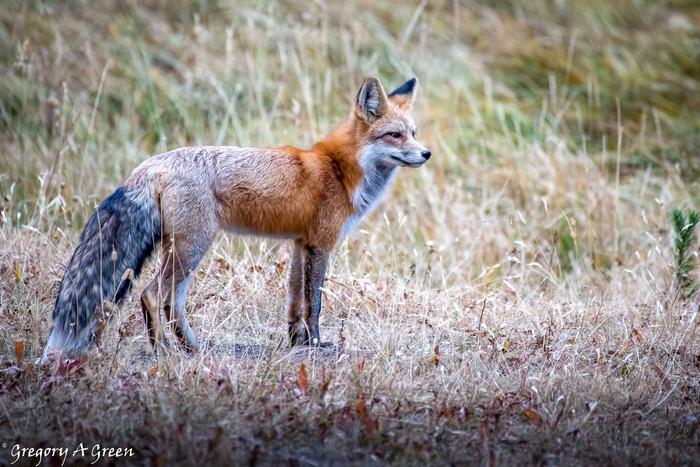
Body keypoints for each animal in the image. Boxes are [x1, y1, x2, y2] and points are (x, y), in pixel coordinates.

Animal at [43, 77, 430, 358]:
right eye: (394, 135)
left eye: (413, 132)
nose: (426, 153)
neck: (339, 170)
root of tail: (151, 164)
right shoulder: (321, 244)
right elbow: (315, 303)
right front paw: (317, 344)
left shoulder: (299, 243)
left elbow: (295, 301)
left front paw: (298, 342)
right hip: (192, 247)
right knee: (153, 295)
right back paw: (165, 351)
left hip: (186, 250)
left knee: (173, 302)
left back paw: (191, 348)